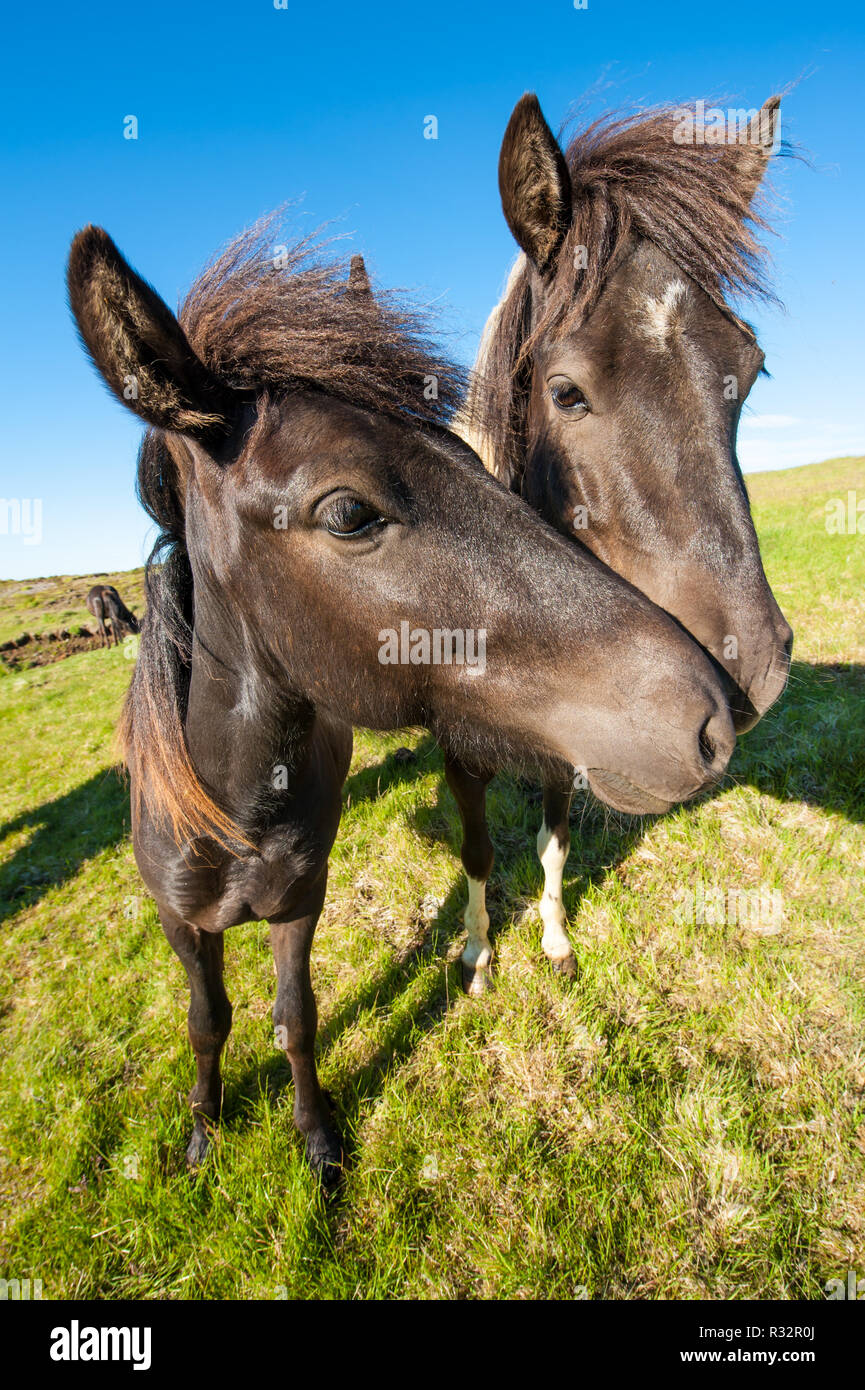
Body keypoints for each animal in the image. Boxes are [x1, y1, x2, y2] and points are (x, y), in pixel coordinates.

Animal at [67, 215, 737, 1183]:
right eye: (348, 512)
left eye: (467, 457)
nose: (711, 715)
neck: (231, 805)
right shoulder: (179, 923)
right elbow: (208, 1023)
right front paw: (202, 1134)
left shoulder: (298, 904)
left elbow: (294, 1020)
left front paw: (315, 1140)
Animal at [450, 93, 795, 992]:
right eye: (566, 392)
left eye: (750, 370)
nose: (747, 668)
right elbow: (476, 851)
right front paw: (477, 956)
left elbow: (553, 839)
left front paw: (554, 938)